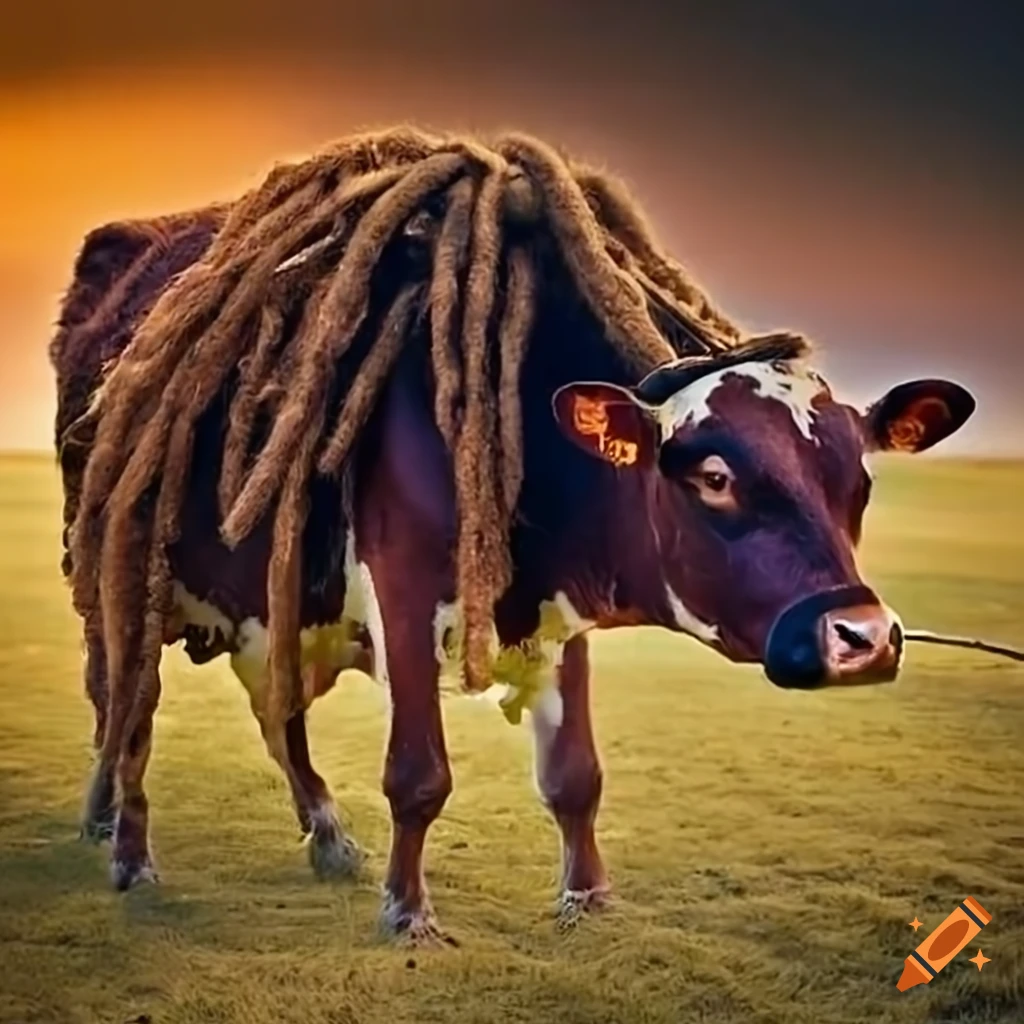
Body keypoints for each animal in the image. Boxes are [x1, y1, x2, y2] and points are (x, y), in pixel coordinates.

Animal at [52, 207, 975, 942]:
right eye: (714, 476)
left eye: (858, 479)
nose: (862, 637)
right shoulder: (404, 597)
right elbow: (418, 774)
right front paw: (408, 911)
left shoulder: (554, 615)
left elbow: (575, 776)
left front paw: (587, 897)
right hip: (122, 584)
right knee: (128, 710)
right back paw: (127, 845)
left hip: (268, 607)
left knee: (273, 714)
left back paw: (325, 833)